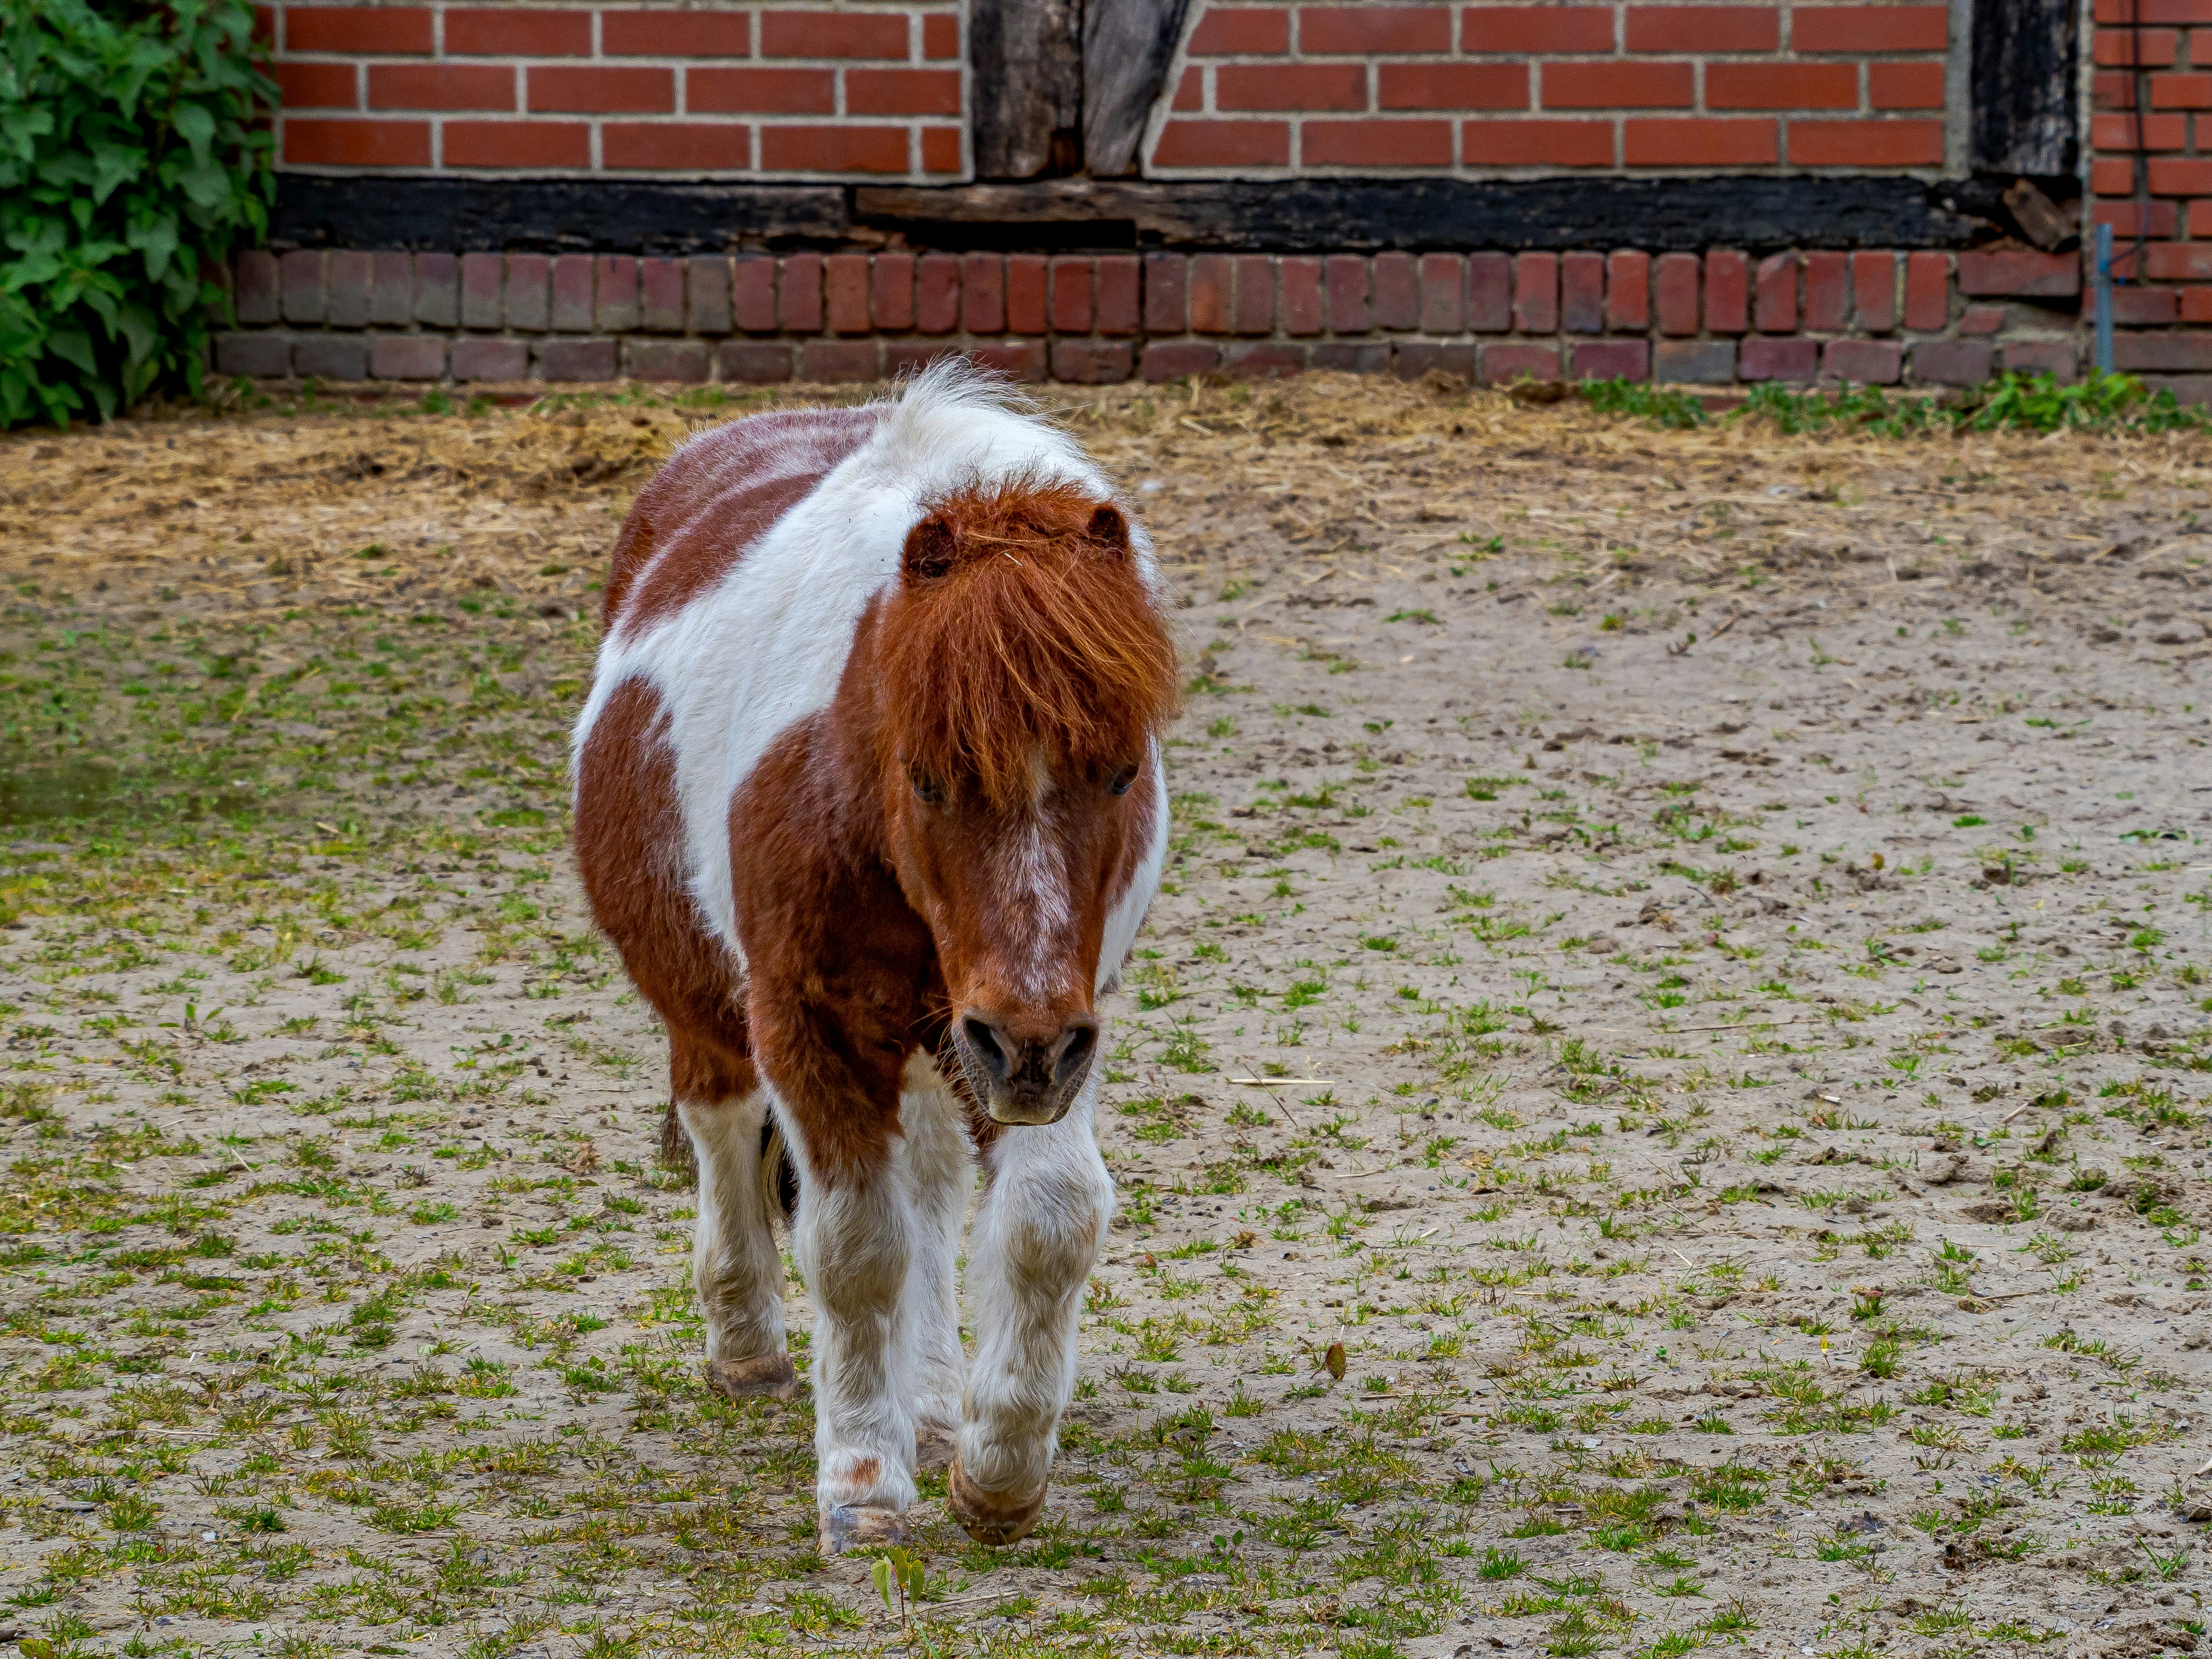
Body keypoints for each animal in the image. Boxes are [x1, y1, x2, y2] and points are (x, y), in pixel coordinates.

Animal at [570, 363, 1179, 1552]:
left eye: (1122, 771)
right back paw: (747, 1344)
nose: (1025, 1050)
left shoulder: (1053, 1028)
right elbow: (855, 1249)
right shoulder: (810, 1021)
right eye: (928, 775)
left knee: (933, 1188)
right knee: (721, 1125)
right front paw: (862, 1484)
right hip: (716, 1001)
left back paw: (934, 1410)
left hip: (955, 1045)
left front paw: (994, 1469)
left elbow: (1047, 1221)